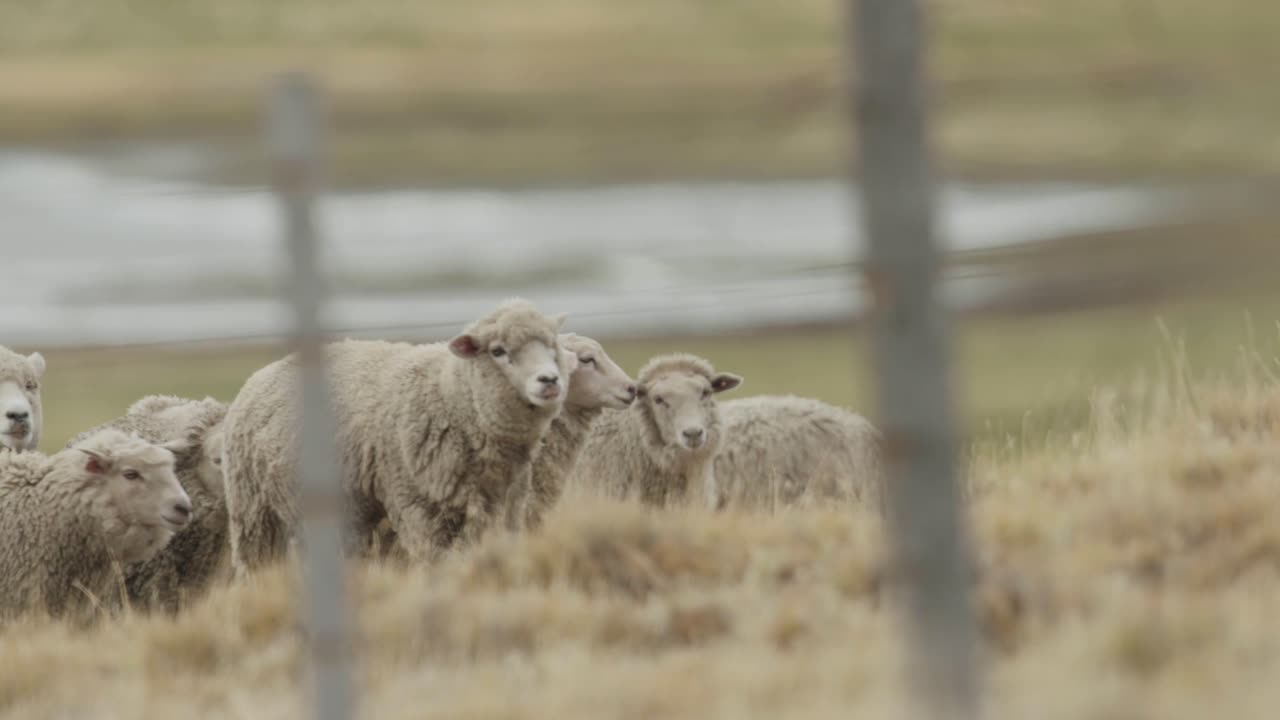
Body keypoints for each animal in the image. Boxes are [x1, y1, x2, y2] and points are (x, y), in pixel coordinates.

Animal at [223, 298, 574, 572]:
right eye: (498, 351)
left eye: (551, 345)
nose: (549, 380)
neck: (452, 397)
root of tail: (260, 375)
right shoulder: (417, 506)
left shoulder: (507, 507)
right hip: (255, 515)